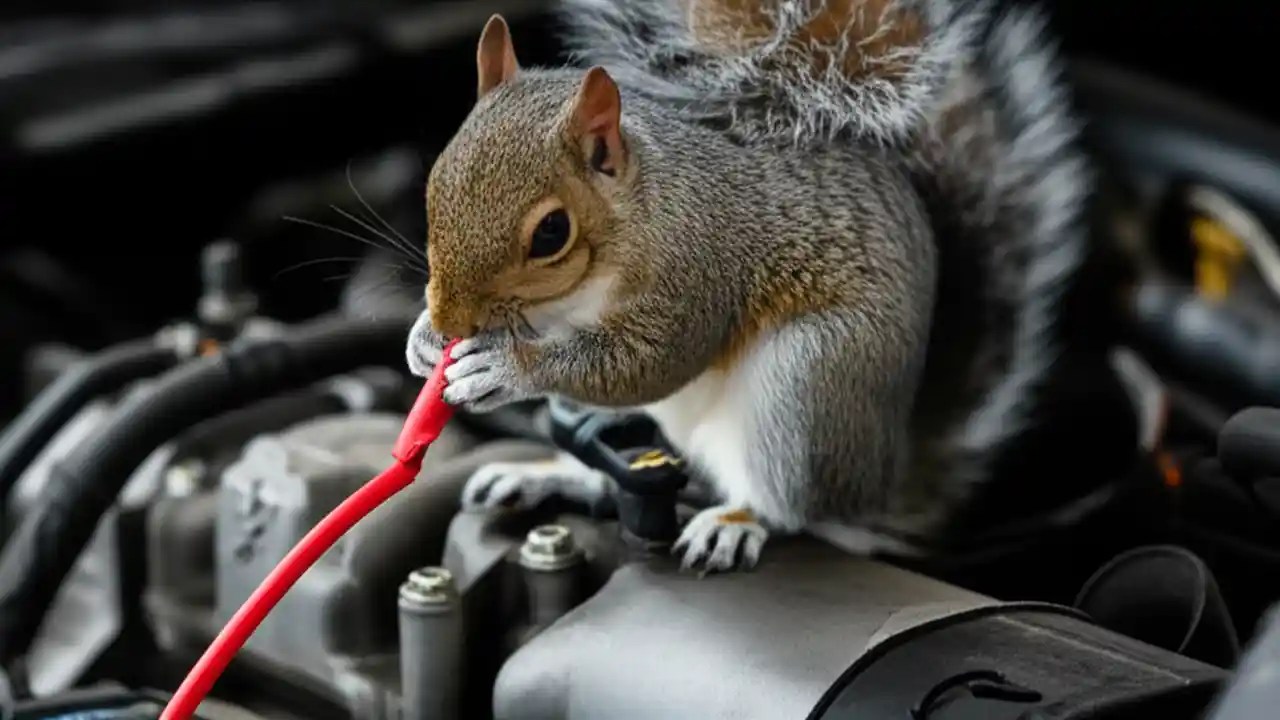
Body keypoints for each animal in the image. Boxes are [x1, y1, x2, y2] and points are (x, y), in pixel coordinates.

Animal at [407, 0, 1089, 572]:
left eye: (551, 232)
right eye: (434, 180)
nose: (451, 320)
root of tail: (876, 483)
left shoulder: (698, 271)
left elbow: (647, 362)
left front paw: (504, 367)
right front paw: (423, 340)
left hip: (808, 380)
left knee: (791, 508)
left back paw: (736, 521)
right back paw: (550, 475)